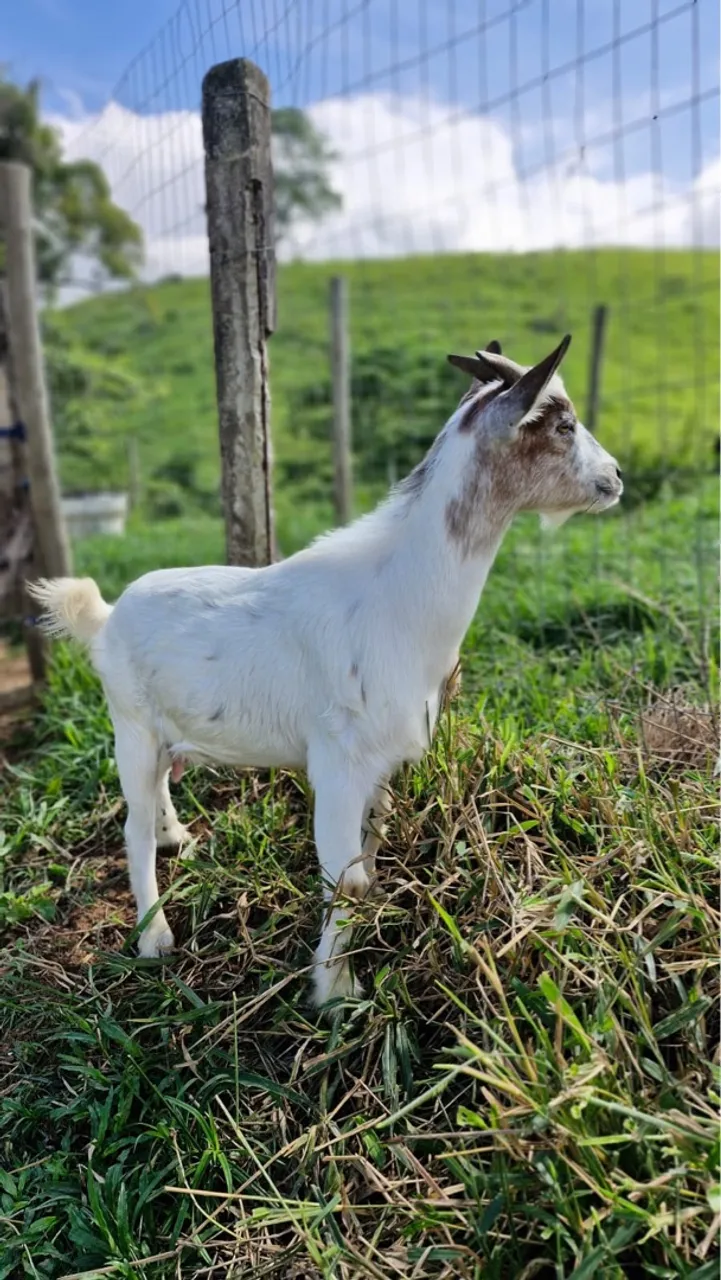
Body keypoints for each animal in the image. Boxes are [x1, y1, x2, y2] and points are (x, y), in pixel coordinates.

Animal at [29, 335, 623, 1005]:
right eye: (563, 425)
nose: (616, 477)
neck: (397, 600)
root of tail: (105, 617)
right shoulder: (338, 762)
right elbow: (344, 882)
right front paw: (336, 992)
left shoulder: (382, 760)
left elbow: (369, 856)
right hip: (129, 725)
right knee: (130, 828)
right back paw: (155, 937)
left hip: (158, 734)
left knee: (158, 792)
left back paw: (174, 837)